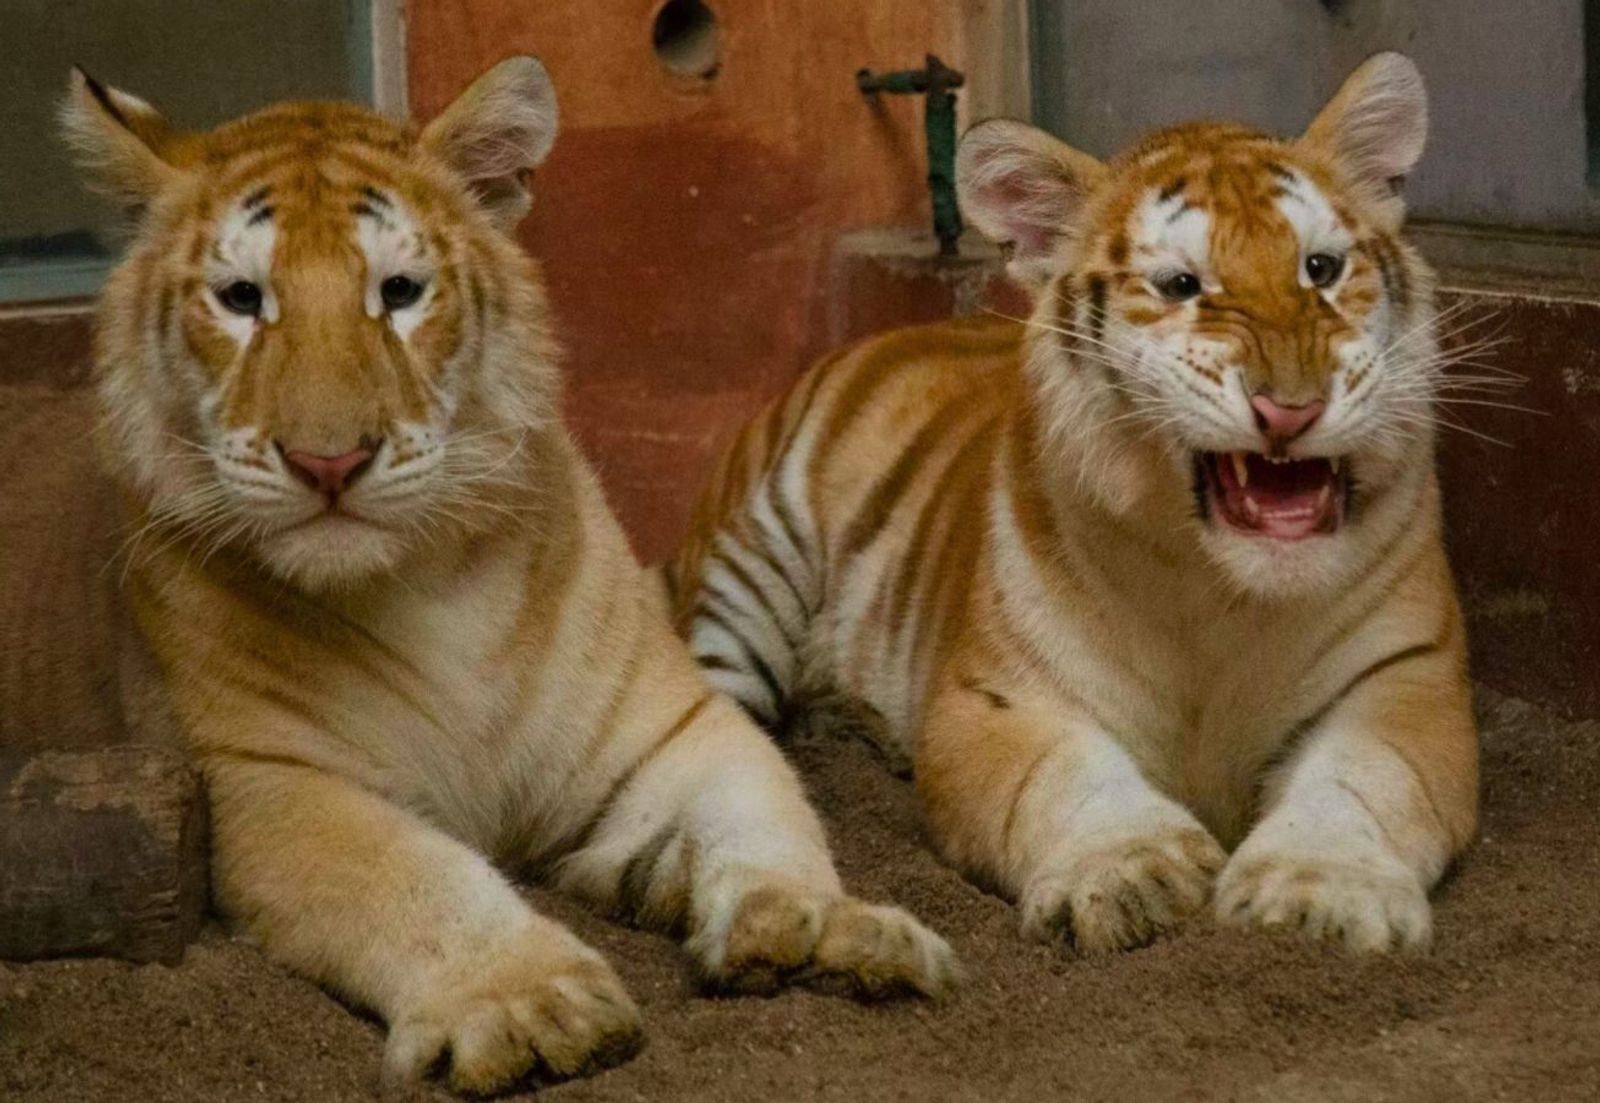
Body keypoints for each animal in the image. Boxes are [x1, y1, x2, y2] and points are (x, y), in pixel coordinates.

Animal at [64, 56, 956, 1095]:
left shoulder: (669, 725)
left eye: (400, 291)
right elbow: (410, 874)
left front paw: (823, 925)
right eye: (242, 299)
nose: (329, 461)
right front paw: (528, 1004)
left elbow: (767, 810)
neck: (426, 586)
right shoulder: (273, 780)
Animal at [668, 53, 1479, 956]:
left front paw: (1318, 893)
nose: (1290, 408)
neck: (1223, 590)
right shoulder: (1004, 696)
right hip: (751, 564)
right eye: (1181, 285)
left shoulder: (1405, 684)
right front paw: (1130, 870)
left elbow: (1360, 780)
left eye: (1322, 269)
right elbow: (1064, 777)